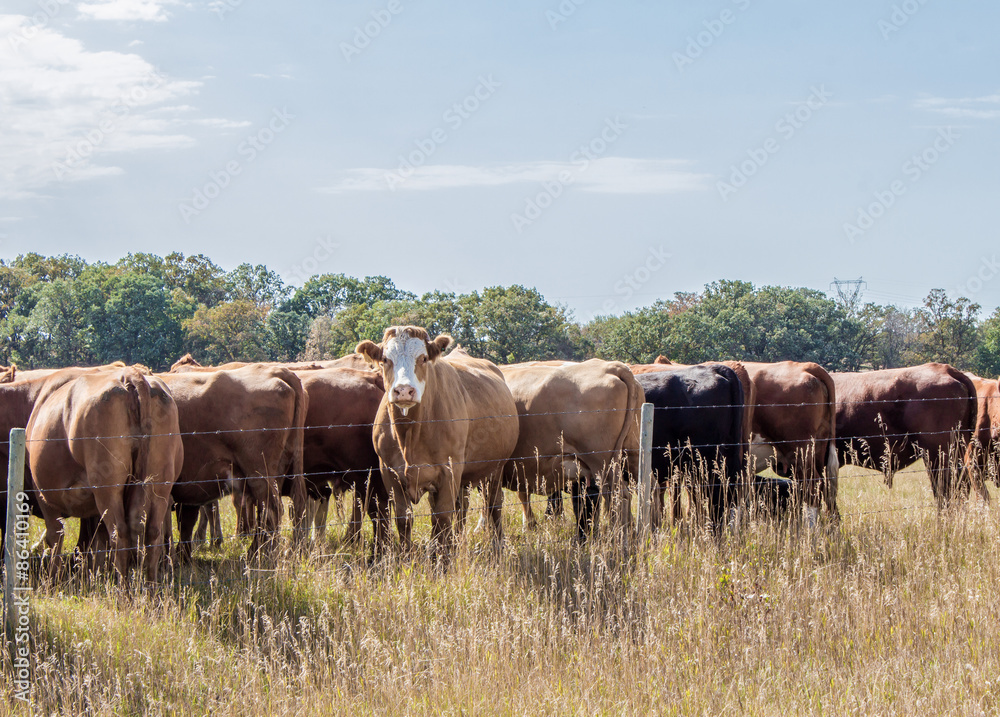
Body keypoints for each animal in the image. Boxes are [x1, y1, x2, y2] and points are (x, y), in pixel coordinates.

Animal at [26, 367, 183, 580]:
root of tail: (130, 375)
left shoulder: (45, 495)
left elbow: (56, 538)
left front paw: (53, 579)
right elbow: (95, 542)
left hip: (107, 489)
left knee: (120, 534)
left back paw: (123, 587)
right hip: (159, 485)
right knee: (151, 533)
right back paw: (151, 585)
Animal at [356, 326, 519, 564]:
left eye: (423, 358)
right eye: (385, 359)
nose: (403, 390)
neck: (410, 435)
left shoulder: (449, 470)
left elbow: (442, 517)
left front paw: (442, 561)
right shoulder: (389, 472)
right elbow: (404, 518)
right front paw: (407, 558)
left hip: (495, 468)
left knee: (493, 504)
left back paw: (497, 546)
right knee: (461, 508)